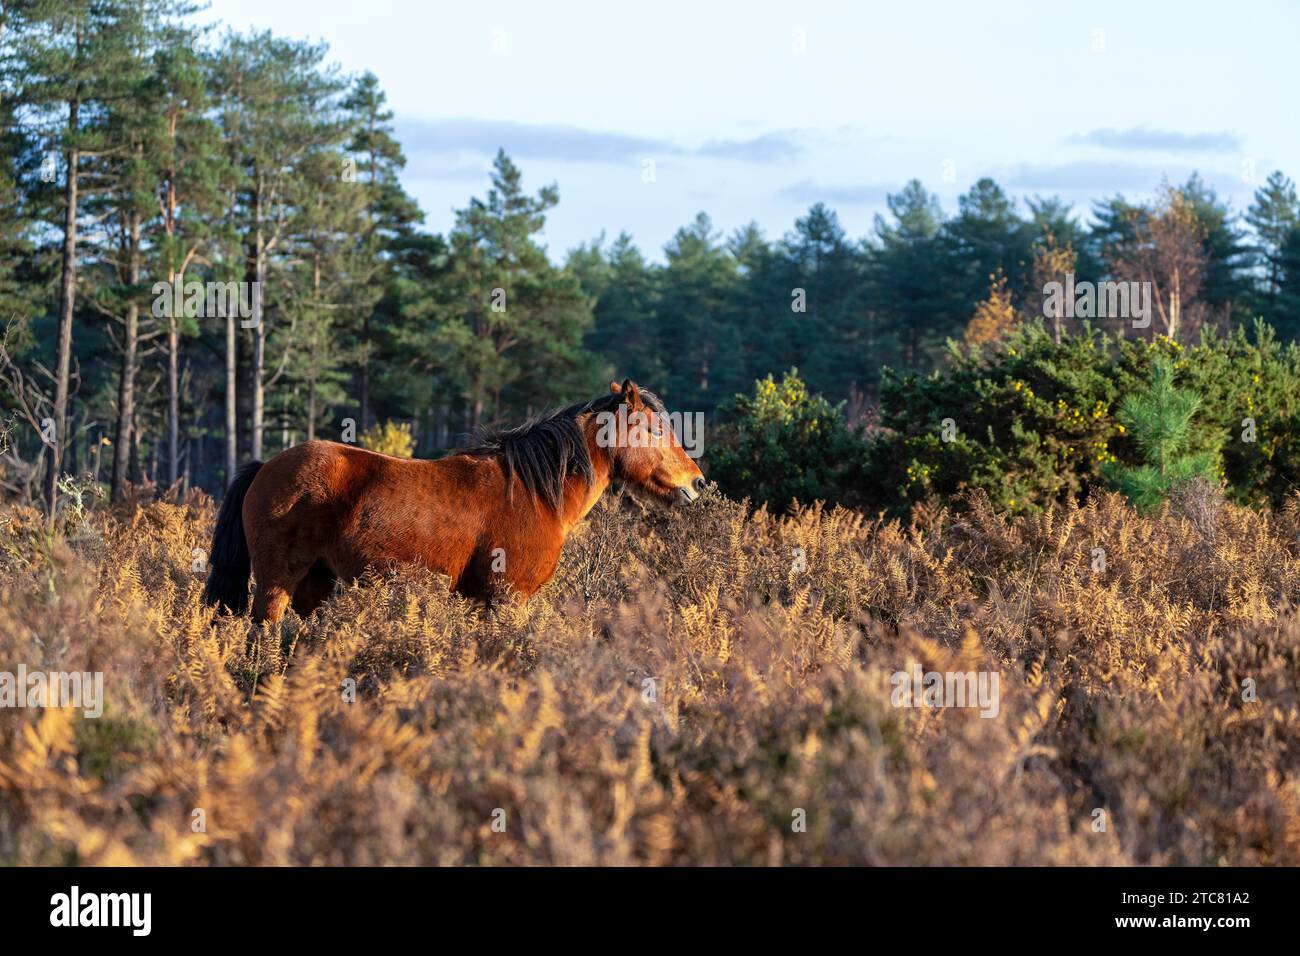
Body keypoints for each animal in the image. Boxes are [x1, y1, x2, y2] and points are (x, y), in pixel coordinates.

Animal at [202, 380, 705, 624]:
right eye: (653, 428)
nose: (696, 482)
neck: (532, 490)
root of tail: (265, 466)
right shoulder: (507, 598)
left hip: (315, 584)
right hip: (275, 582)